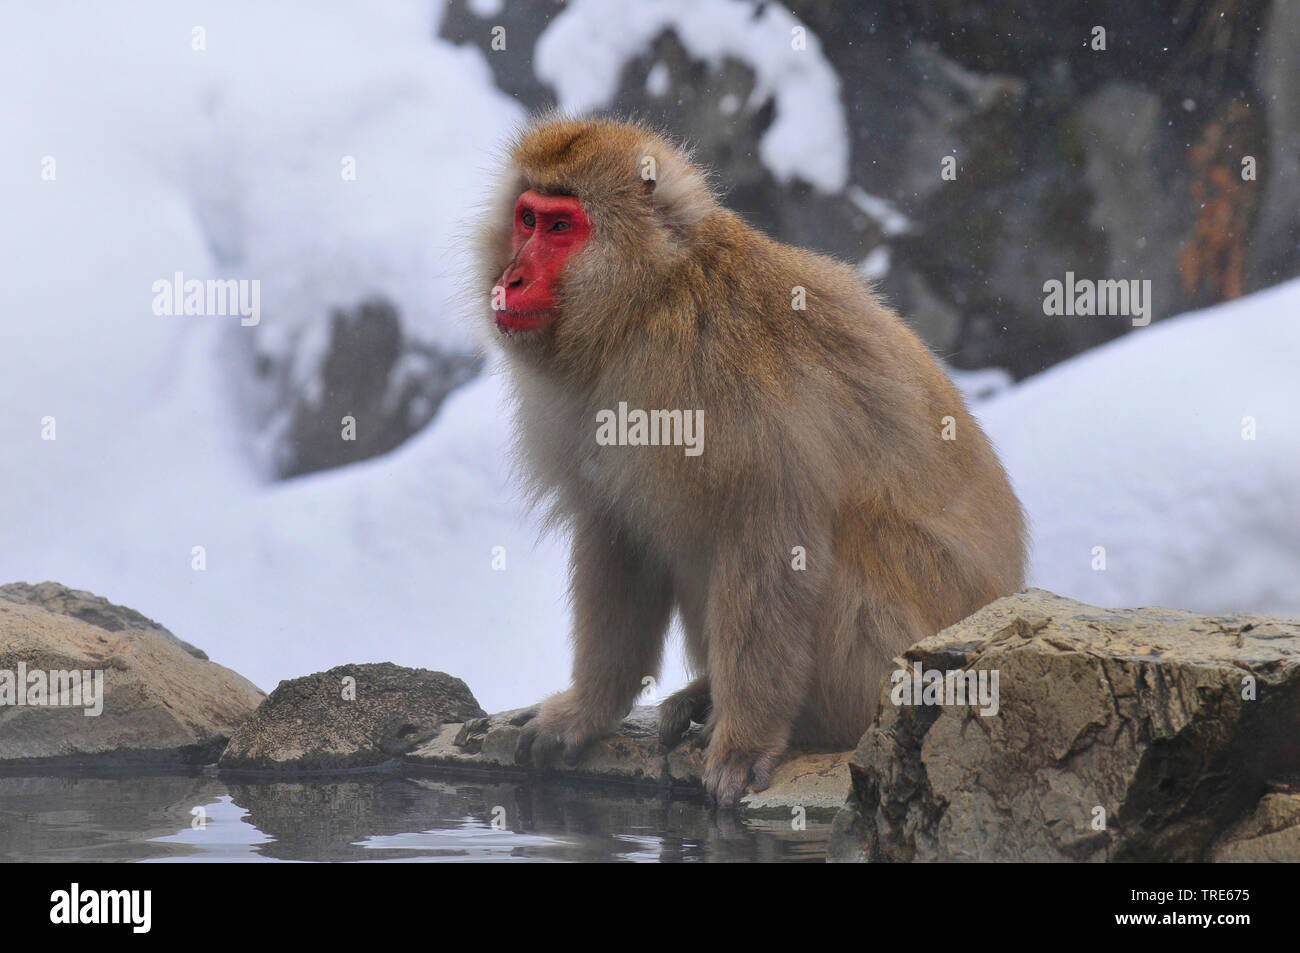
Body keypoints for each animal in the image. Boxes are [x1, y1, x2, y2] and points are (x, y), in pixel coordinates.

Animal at [475, 116, 1027, 807]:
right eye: (526, 218)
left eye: (560, 227)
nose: (511, 279)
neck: (647, 302)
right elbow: (618, 534)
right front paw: (585, 712)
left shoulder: (724, 385)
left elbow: (768, 541)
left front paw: (744, 743)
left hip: (906, 656)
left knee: (847, 541)